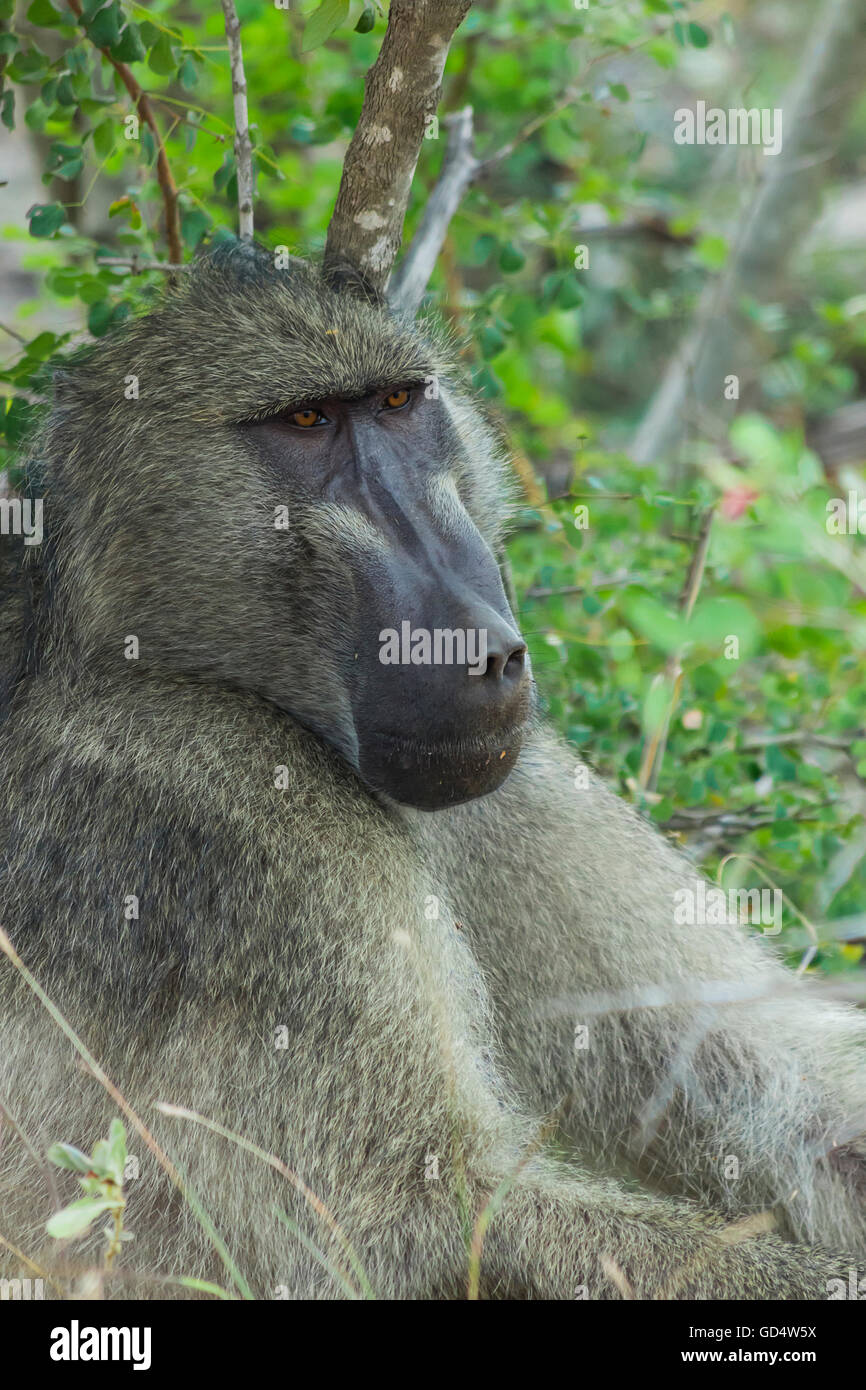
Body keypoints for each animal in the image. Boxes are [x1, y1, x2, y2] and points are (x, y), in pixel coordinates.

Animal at [0, 244, 864, 1300]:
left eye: (400, 404)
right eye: (306, 423)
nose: (479, 642)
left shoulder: (506, 786)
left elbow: (787, 1108)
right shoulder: (225, 798)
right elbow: (410, 1221)